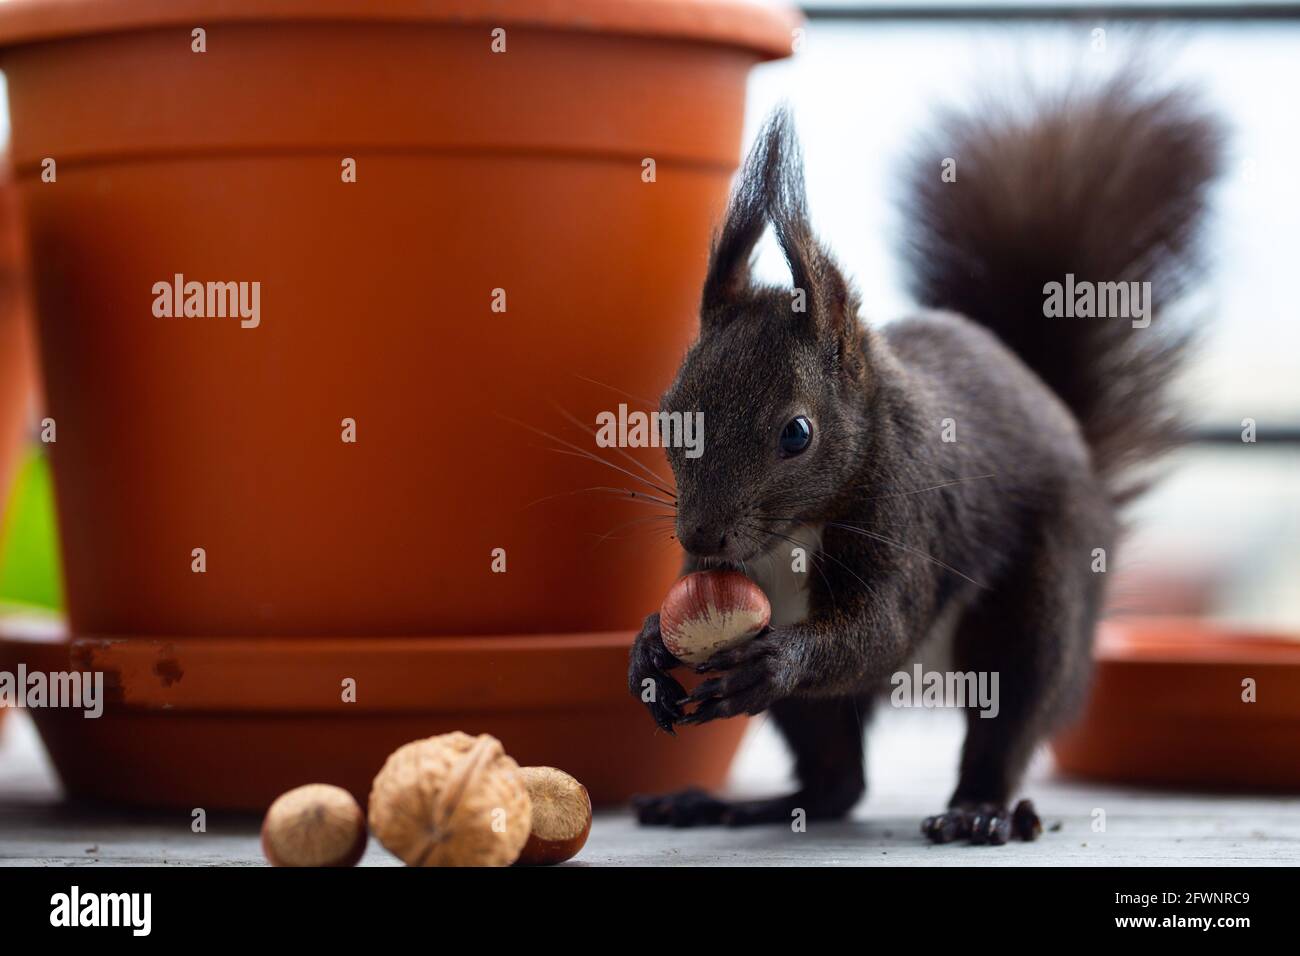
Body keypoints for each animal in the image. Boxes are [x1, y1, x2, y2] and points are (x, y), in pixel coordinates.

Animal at [626, 74, 1222, 844]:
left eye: (797, 433)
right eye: (669, 413)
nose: (700, 533)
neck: (798, 528)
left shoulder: (909, 515)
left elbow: (885, 626)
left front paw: (776, 661)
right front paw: (648, 652)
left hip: (1038, 608)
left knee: (1007, 720)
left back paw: (980, 810)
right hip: (823, 712)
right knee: (836, 782)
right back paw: (729, 805)